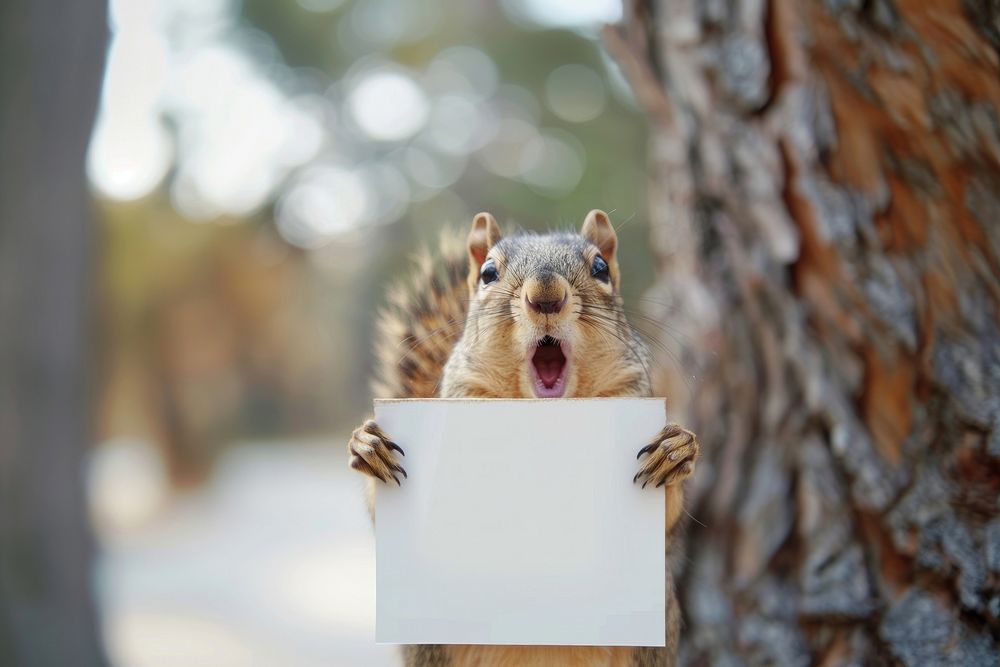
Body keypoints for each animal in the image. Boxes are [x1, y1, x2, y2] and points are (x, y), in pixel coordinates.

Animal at [348, 210, 699, 667]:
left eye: (601, 267)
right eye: (487, 273)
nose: (545, 296)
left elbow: (668, 525)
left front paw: (675, 449)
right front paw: (368, 446)